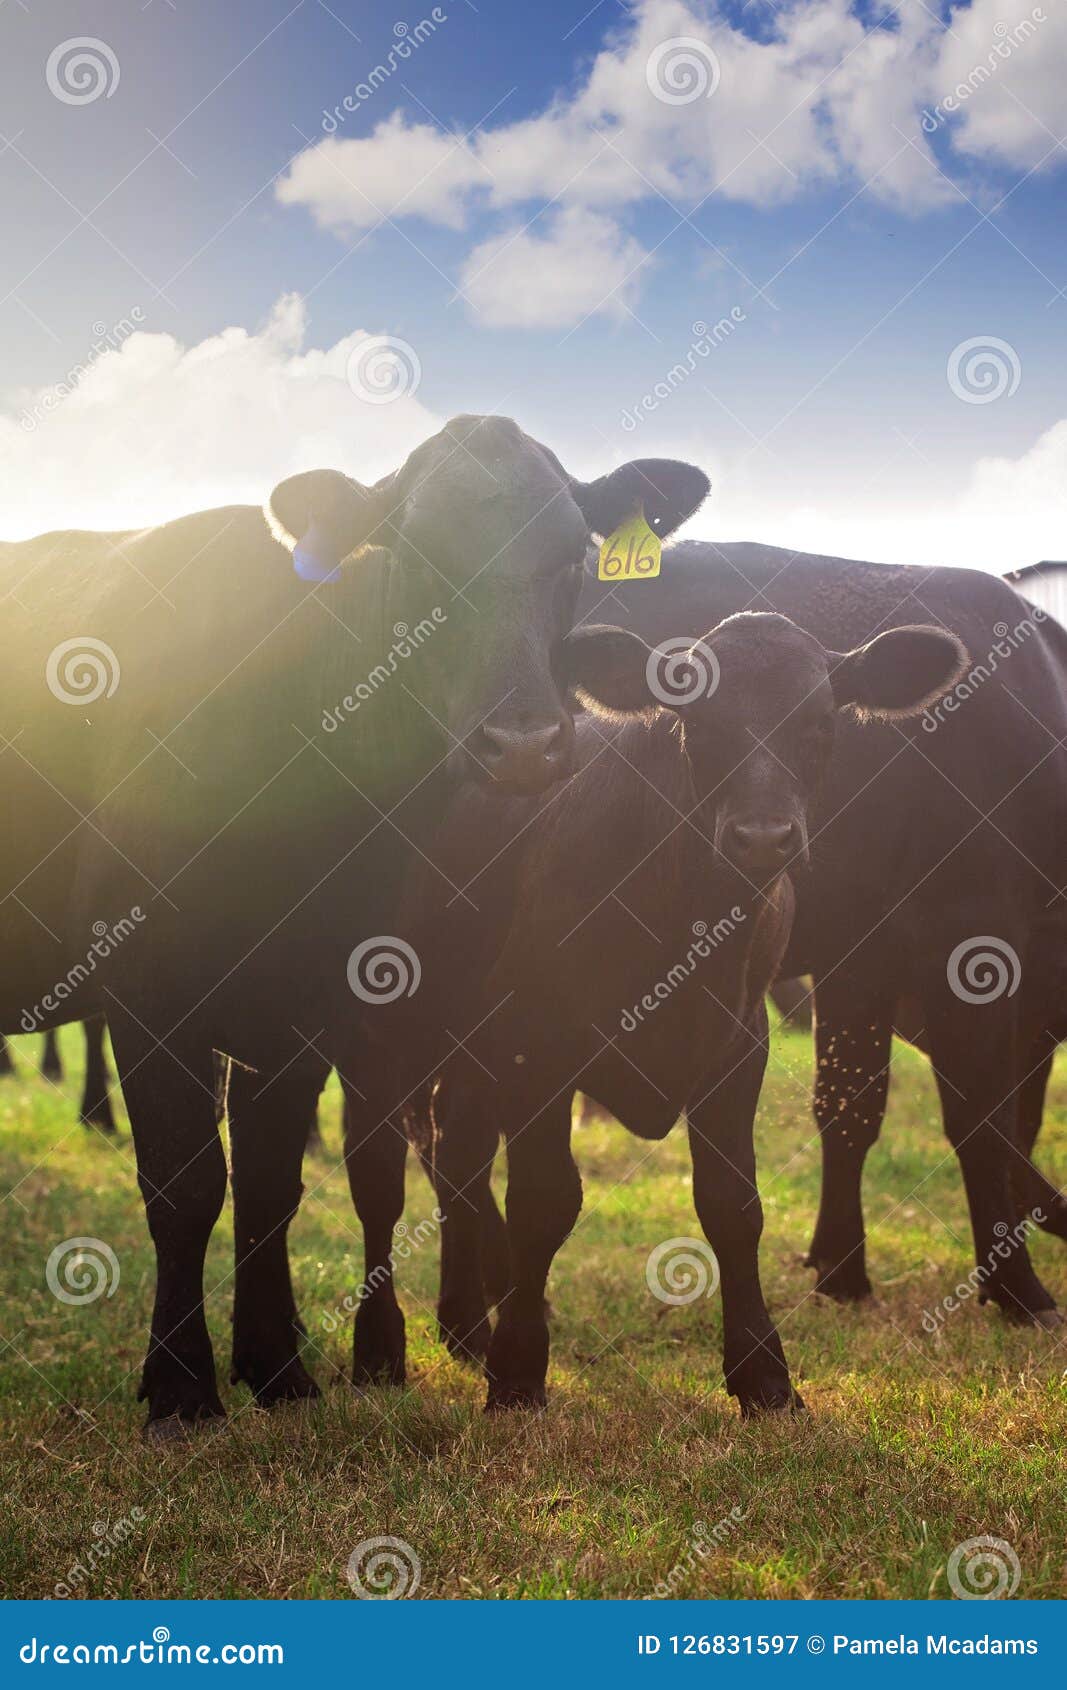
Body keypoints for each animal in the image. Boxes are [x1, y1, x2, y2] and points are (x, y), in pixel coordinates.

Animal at [0, 414, 709, 1438]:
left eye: (571, 555)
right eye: (414, 558)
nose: (524, 744)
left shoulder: (307, 998)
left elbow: (268, 1183)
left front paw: (277, 1370)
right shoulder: (148, 989)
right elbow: (184, 1185)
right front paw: (181, 1389)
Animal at [346, 610, 966, 1415]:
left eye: (820, 723)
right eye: (696, 723)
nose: (761, 837)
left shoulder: (739, 1044)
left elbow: (734, 1205)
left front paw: (765, 1377)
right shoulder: (536, 1042)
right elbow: (544, 1202)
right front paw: (517, 1374)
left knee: (457, 1159)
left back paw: (464, 1328)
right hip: (378, 1025)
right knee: (379, 1181)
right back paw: (378, 1350)